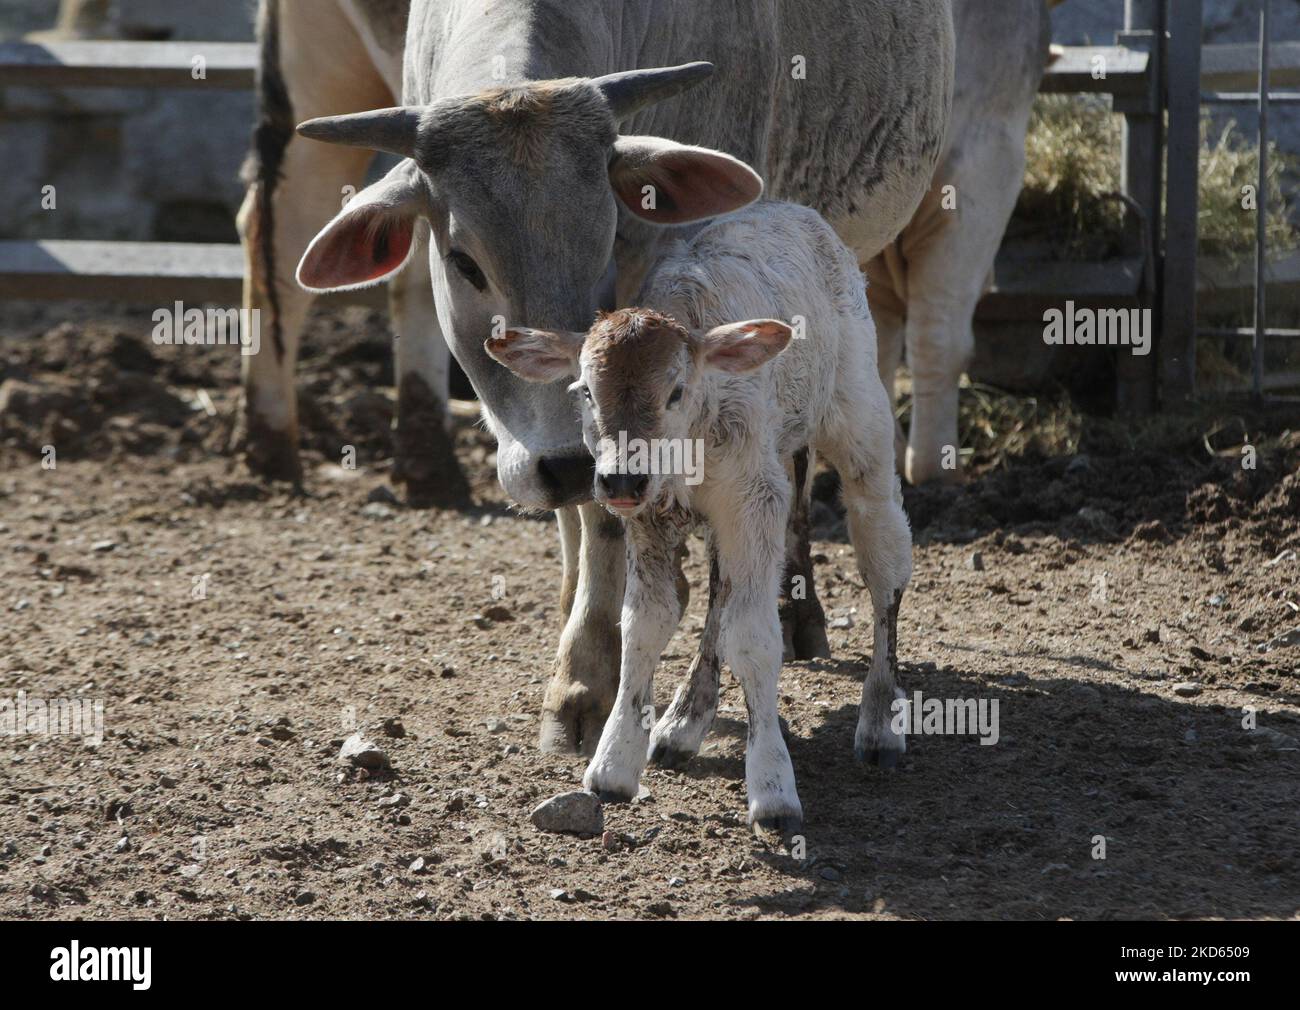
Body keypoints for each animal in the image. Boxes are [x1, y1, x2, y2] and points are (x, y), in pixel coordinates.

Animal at [486, 201, 912, 833]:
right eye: (584, 390)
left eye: (676, 391)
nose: (620, 478)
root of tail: (795, 211)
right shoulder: (651, 517)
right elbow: (645, 623)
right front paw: (614, 763)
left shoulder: (755, 497)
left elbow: (755, 636)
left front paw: (773, 788)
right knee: (720, 588)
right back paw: (684, 721)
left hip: (860, 417)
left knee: (882, 553)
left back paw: (881, 721)